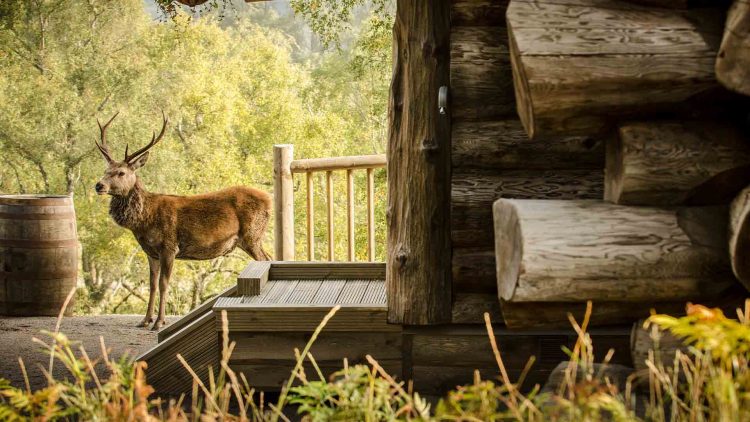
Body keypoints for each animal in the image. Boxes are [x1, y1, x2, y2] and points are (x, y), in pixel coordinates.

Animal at [94, 112, 272, 330]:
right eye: (106, 170)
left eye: (121, 172)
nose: (99, 185)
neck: (144, 221)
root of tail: (269, 199)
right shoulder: (150, 252)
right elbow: (152, 284)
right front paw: (145, 320)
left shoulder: (169, 246)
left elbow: (164, 284)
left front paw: (159, 322)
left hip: (252, 236)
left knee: (267, 260)